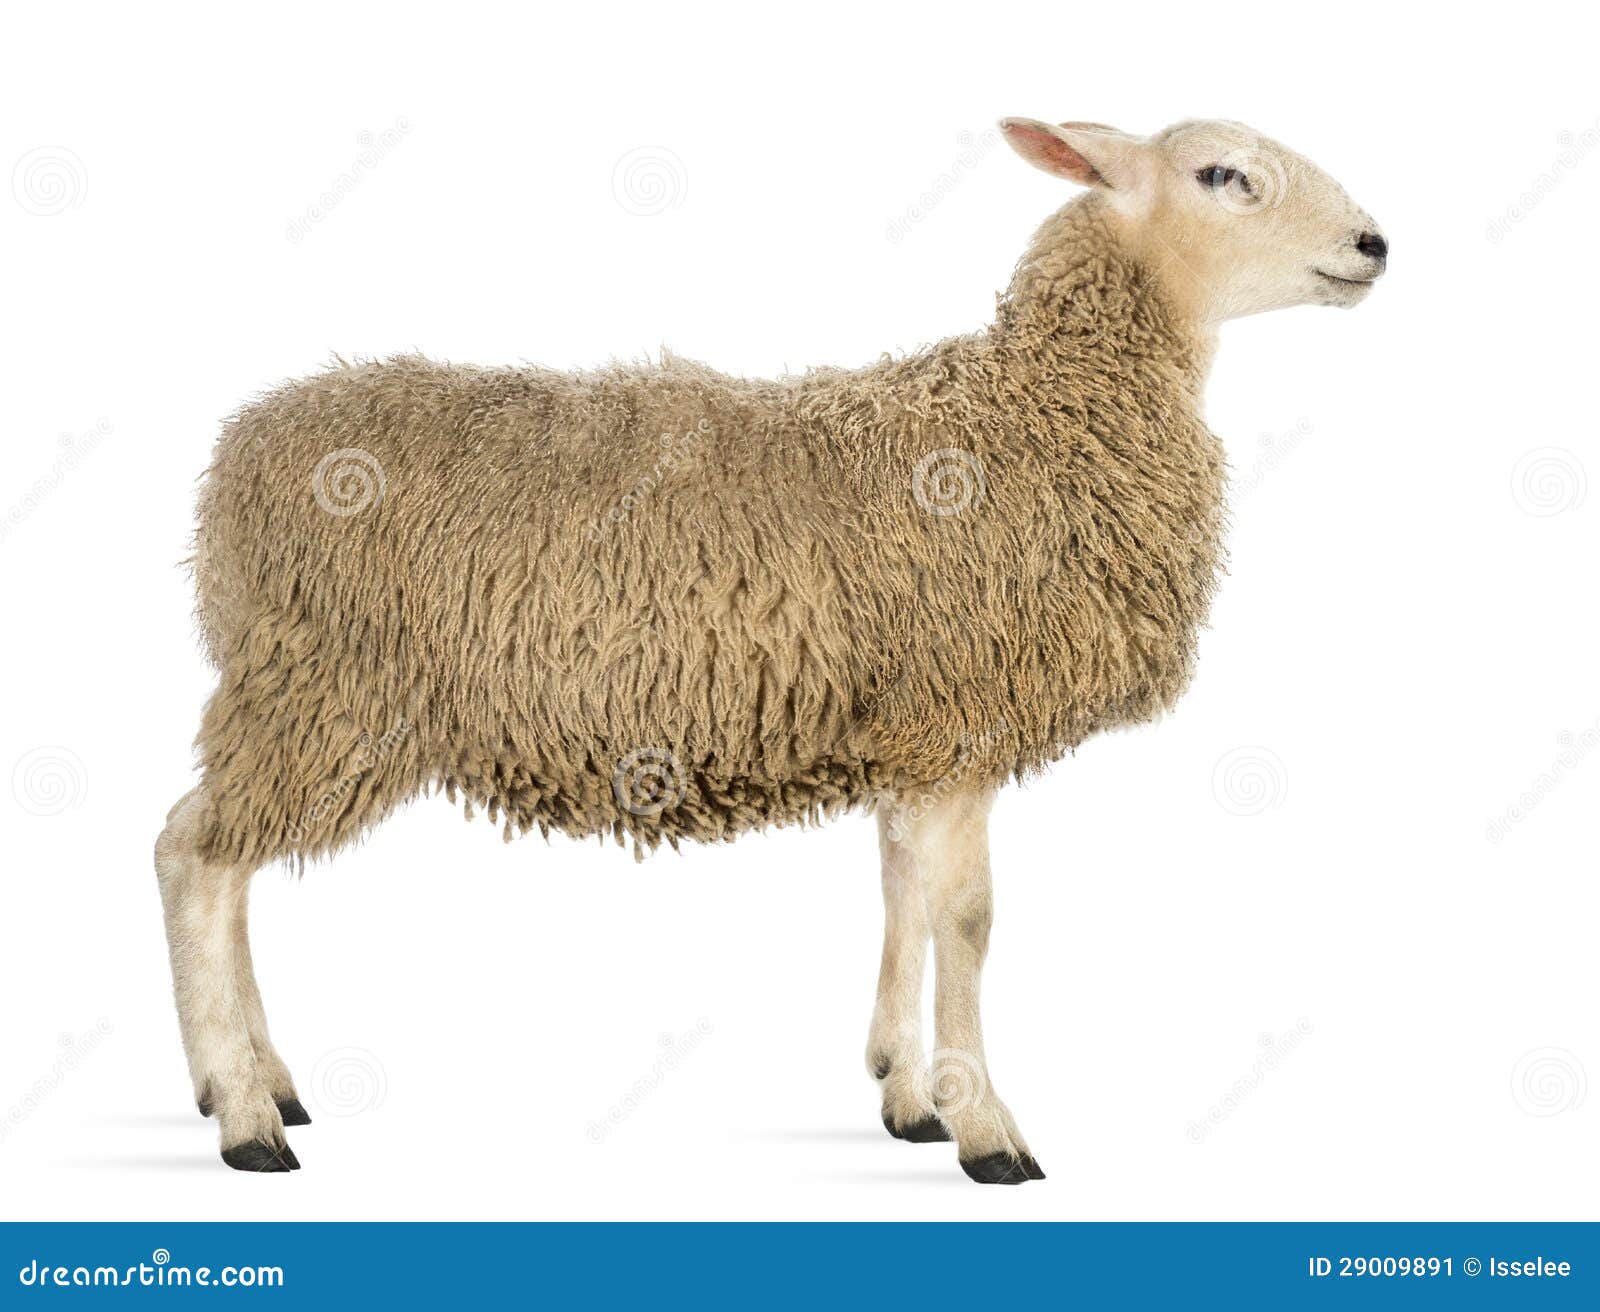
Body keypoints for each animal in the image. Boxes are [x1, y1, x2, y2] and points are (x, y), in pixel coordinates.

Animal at [157, 116, 1385, 1180]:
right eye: (1224, 176)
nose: (1375, 244)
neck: (1040, 415)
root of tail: (238, 458)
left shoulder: (906, 734)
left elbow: (901, 895)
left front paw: (909, 1097)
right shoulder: (958, 719)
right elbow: (970, 919)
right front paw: (989, 1130)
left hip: (290, 688)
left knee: (218, 858)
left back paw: (259, 1080)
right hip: (326, 691)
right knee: (195, 859)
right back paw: (246, 1117)